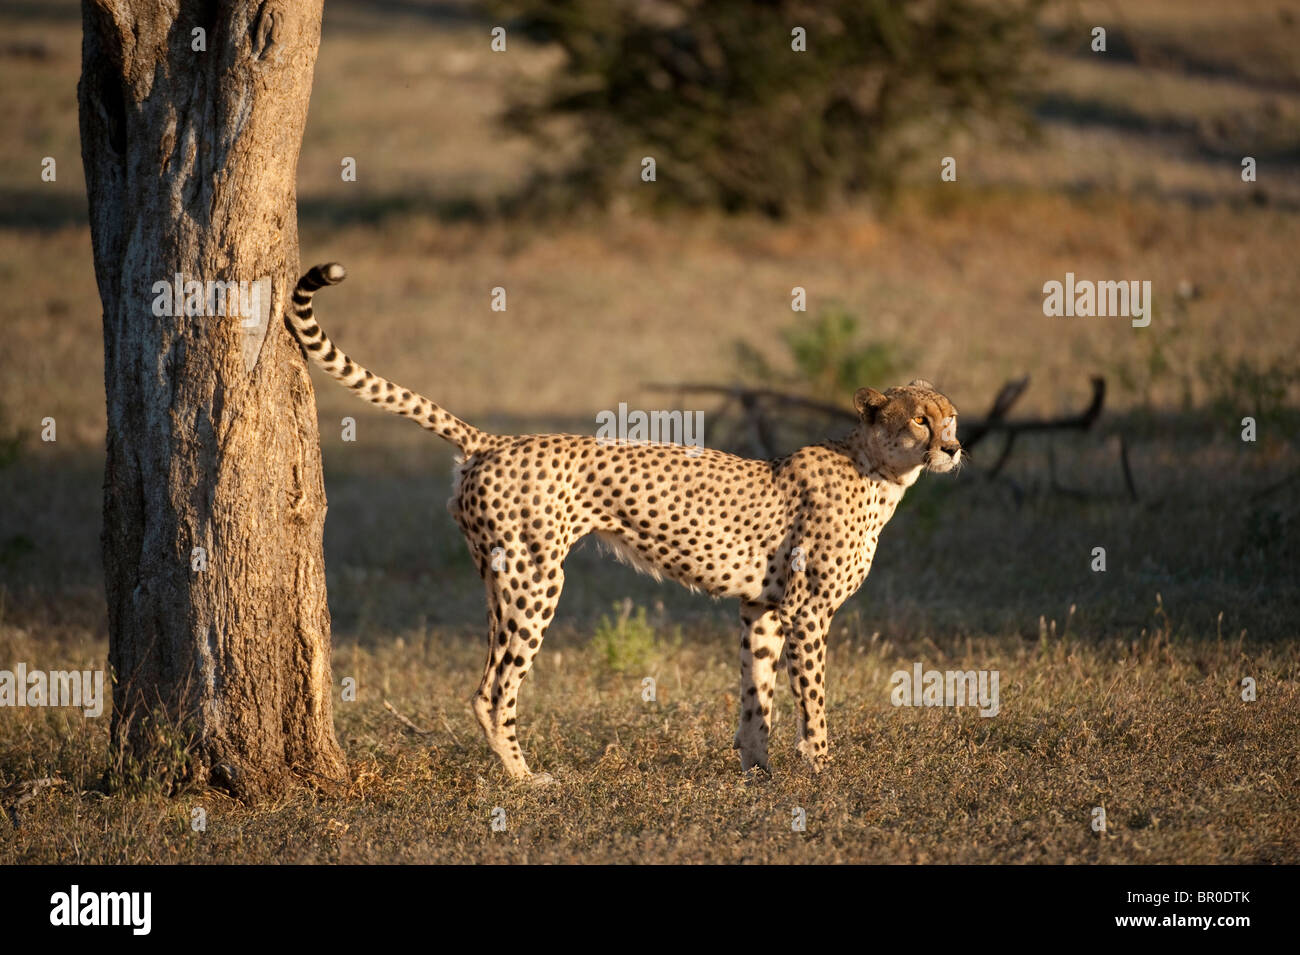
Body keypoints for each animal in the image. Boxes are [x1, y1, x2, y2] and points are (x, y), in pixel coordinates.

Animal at [289, 263, 962, 783]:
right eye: (921, 420)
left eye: (950, 416)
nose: (955, 448)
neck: (878, 471)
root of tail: (495, 440)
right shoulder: (807, 612)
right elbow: (812, 699)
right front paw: (821, 769)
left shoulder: (763, 608)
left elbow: (756, 696)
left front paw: (757, 771)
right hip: (535, 582)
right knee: (492, 690)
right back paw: (526, 779)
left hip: (499, 578)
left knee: (487, 679)